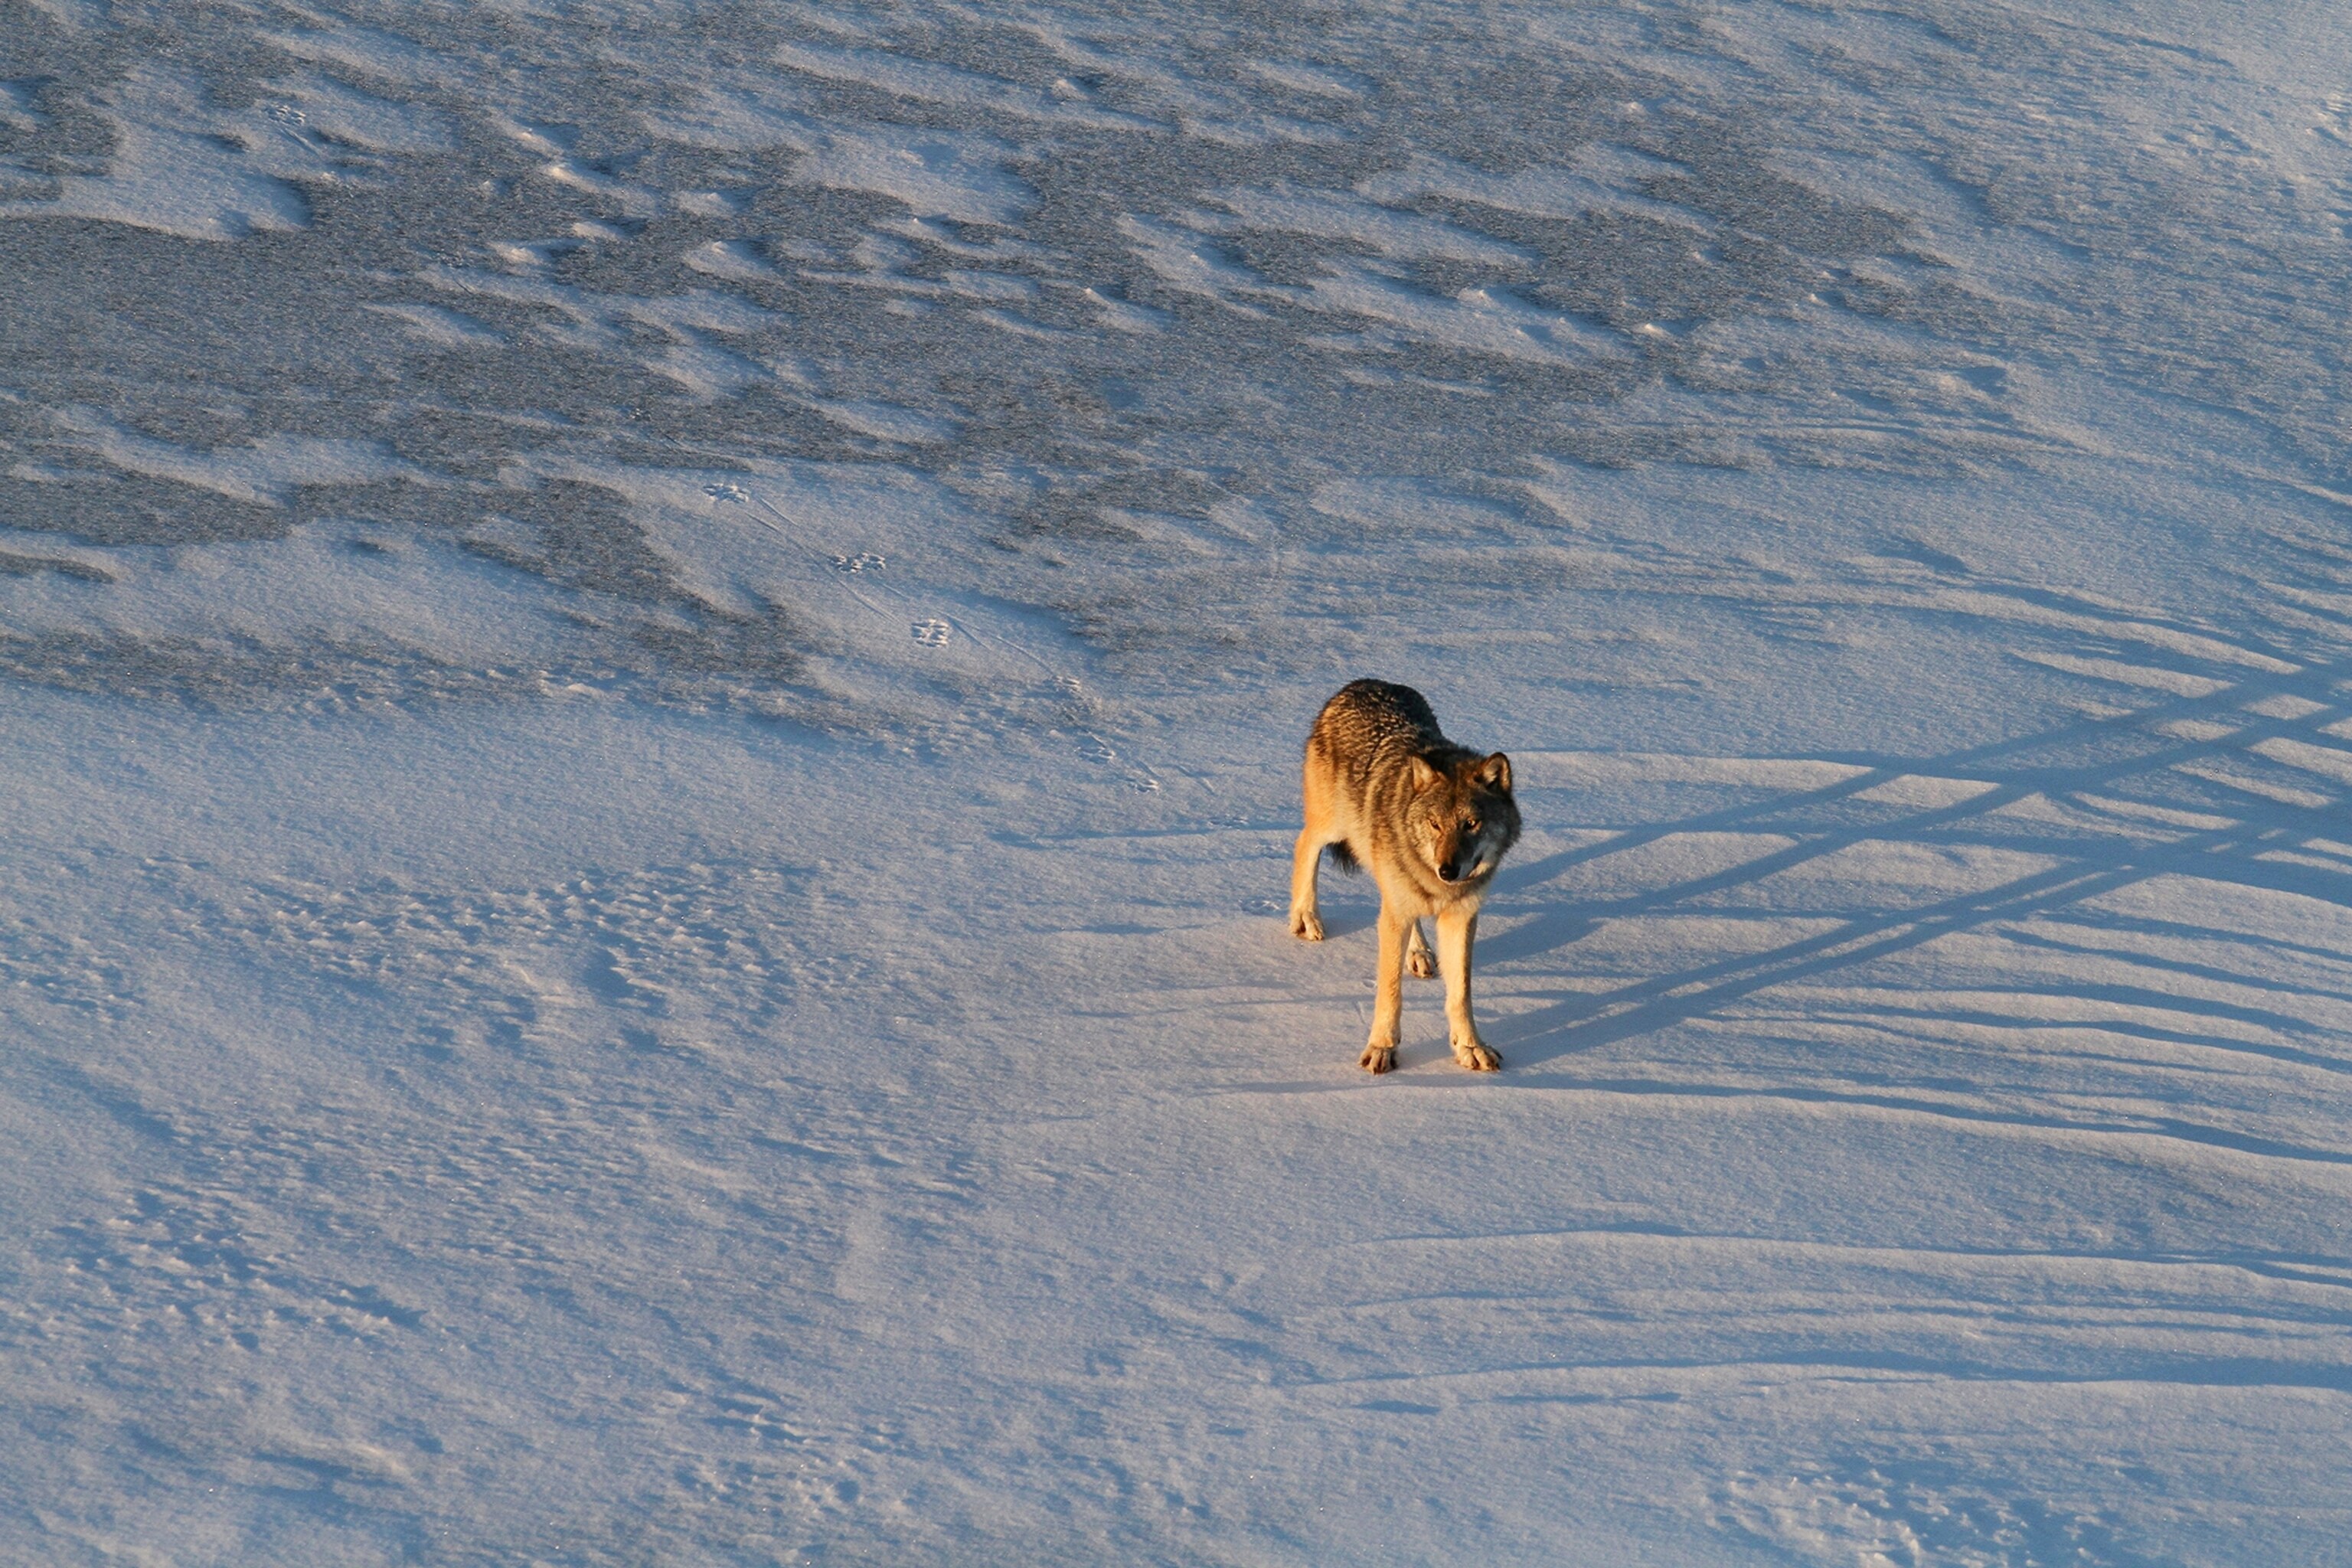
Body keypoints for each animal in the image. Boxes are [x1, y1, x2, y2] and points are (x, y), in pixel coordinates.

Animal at [1288, 679, 1521, 1074]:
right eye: (1435, 824)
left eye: (1471, 823)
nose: (1448, 870)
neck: (1438, 886)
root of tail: (1361, 683)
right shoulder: (1396, 915)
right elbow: (1390, 991)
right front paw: (1382, 1048)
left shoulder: (1461, 917)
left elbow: (1461, 993)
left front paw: (1470, 1047)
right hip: (1334, 827)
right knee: (1303, 844)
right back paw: (1305, 918)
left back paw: (1420, 952)